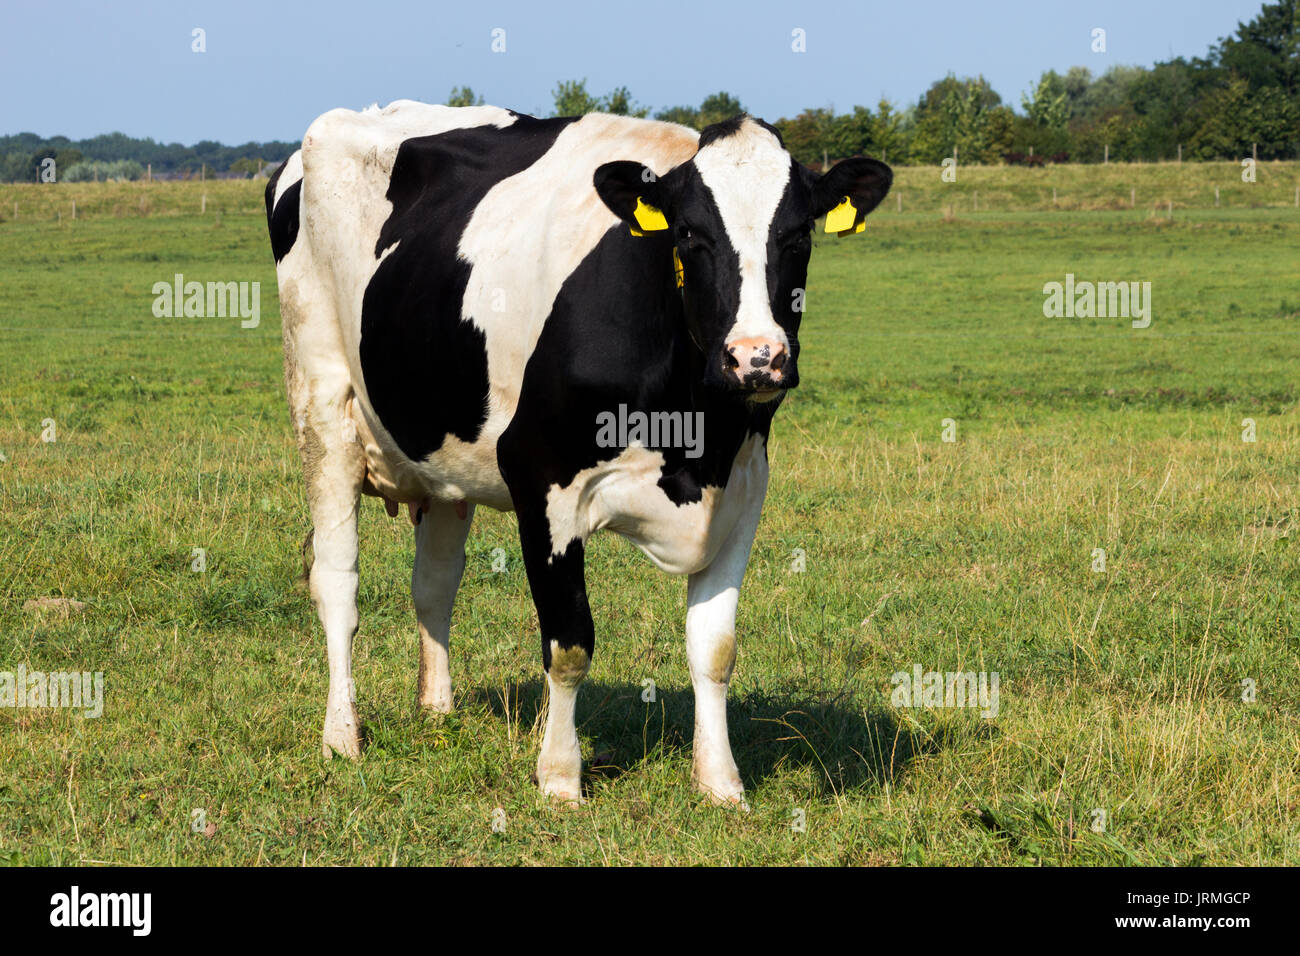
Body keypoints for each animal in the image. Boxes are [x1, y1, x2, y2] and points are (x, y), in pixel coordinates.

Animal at [265, 101, 891, 805]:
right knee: (336, 582)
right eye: (689, 236)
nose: (758, 358)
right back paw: (342, 735)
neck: (696, 436)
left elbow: (715, 648)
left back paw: (437, 711)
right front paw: (561, 776)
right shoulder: (540, 478)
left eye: (798, 237)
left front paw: (719, 781)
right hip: (323, 406)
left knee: (434, 585)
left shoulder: (742, 489)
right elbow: (569, 644)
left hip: (445, 455)